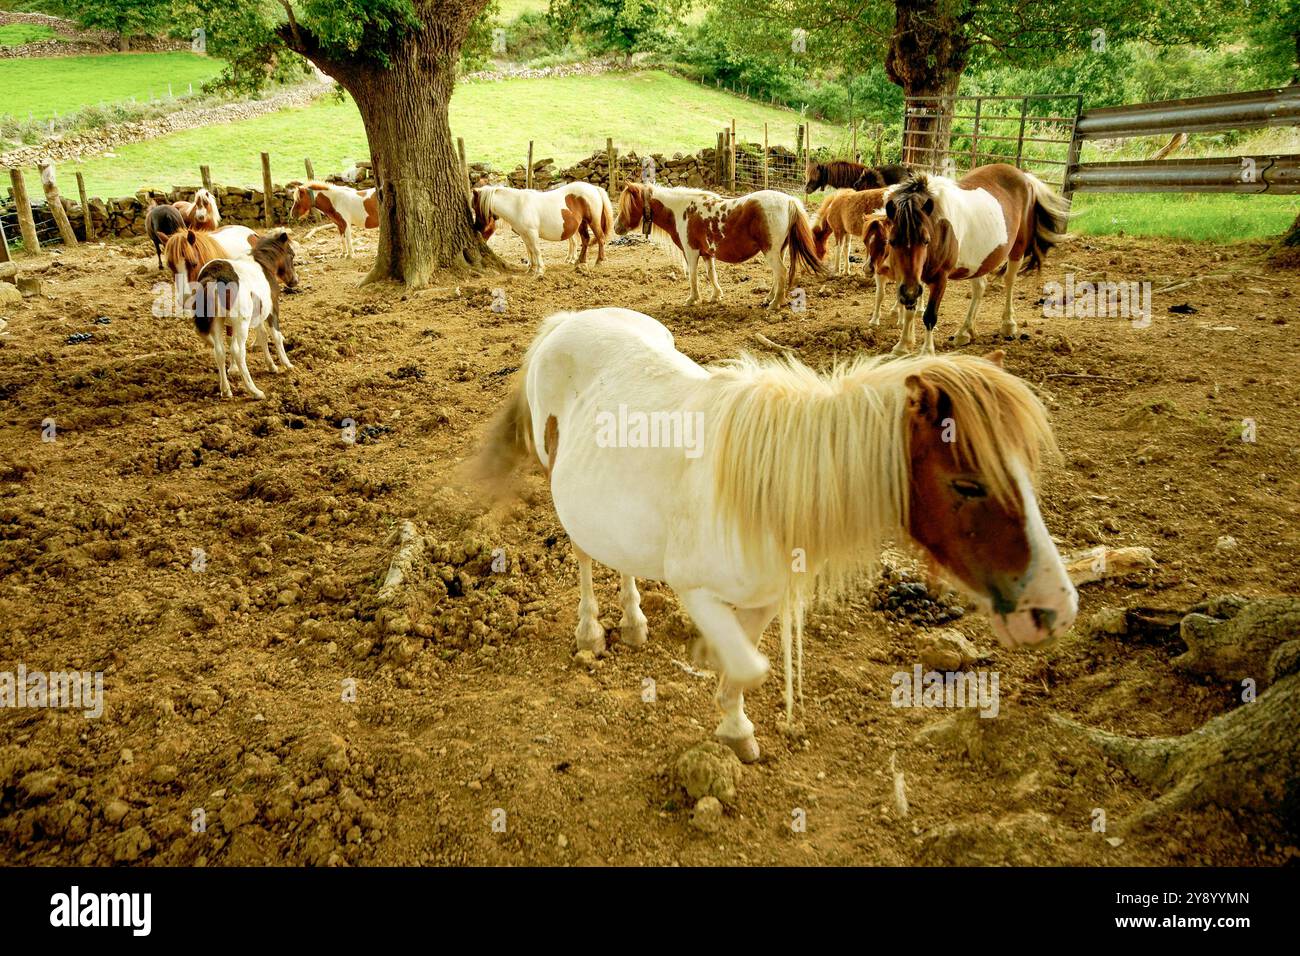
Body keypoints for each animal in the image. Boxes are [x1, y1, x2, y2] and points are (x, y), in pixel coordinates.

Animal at [192, 229, 298, 401]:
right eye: (291, 255)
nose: (295, 281)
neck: (263, 265)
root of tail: (213, 278)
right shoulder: (272, 310)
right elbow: (276, 336)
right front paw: (287, 365)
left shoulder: (258, 315)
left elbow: (262, 336)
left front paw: (272, 366)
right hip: (241, 324)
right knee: (238, 351)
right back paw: (255, 391)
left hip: (217, 323)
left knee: (219, 352)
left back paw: (226, 390)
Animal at [470, 182, 613, 274]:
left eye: (475, 207)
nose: (476, 227)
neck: (517, 205)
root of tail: (594, 188)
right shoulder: (524, 234)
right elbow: (530, 250)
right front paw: (531, 268)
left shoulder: (532, 233)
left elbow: (536, 250)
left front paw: (539, 270)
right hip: (582, 223)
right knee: (585, 240)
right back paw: (580, 261)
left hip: (593, 221)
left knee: (600, 238)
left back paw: (599, 261)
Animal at [473, 307, 1078, 761]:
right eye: (968, 484)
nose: (1054, 608)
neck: (761, 491)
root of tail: (567, 321)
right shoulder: (696, 589)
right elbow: (749, 665)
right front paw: (724, 700)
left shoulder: (767, 596)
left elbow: (746, 665)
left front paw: (732, 723)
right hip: (562, 485)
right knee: (582, 555)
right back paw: (592, 632)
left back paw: (634, 622)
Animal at [613, 183, 823, 308]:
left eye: (627, 206)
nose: (616, 227)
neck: (681, 210)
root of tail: (789, 201)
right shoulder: (707, 253)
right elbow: (711, 274)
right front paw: (715, 296)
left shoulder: (691, 252)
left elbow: (693, 277)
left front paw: (692, 299)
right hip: (779, 250)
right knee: (776, 275)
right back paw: (769, 298)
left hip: (771, 251)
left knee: (780, 273)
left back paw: (775, 303)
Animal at [881, 164, 1071, 356]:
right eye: (892, 241)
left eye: (926, 240)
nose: (911, 290)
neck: (939, 226)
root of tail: (1024, 176)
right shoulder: (909, 280)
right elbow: (909, 311)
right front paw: (902, 346)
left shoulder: (939, 279)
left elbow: (929, 316)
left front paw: (927, 352)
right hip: (980, 261)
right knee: (979, 288)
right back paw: (965, 331)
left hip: (1017, 249)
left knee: (1009, 281)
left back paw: (1008, 324)